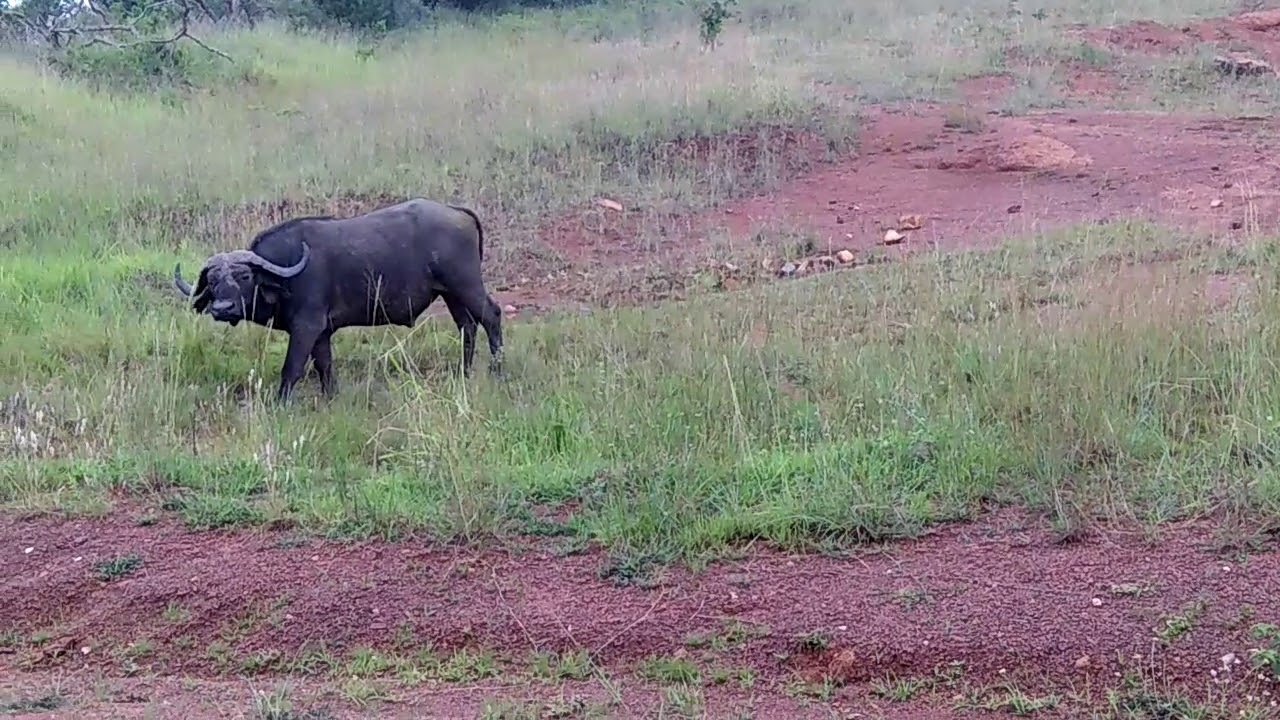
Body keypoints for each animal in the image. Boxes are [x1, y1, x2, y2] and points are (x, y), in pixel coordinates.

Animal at [173, 197, 504, 402]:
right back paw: (464, 372)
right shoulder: (322, 333)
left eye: (244, 276)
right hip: (451, 294)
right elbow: (325, 366)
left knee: (491, 316)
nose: (221, 308)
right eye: (212, 281)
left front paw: (281, 403)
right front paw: (330, 397)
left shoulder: (306, 327)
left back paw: (496, 369)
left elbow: (292, 368)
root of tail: (456, 210)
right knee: (467, 326)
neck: (286, 271)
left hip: (466, 285)